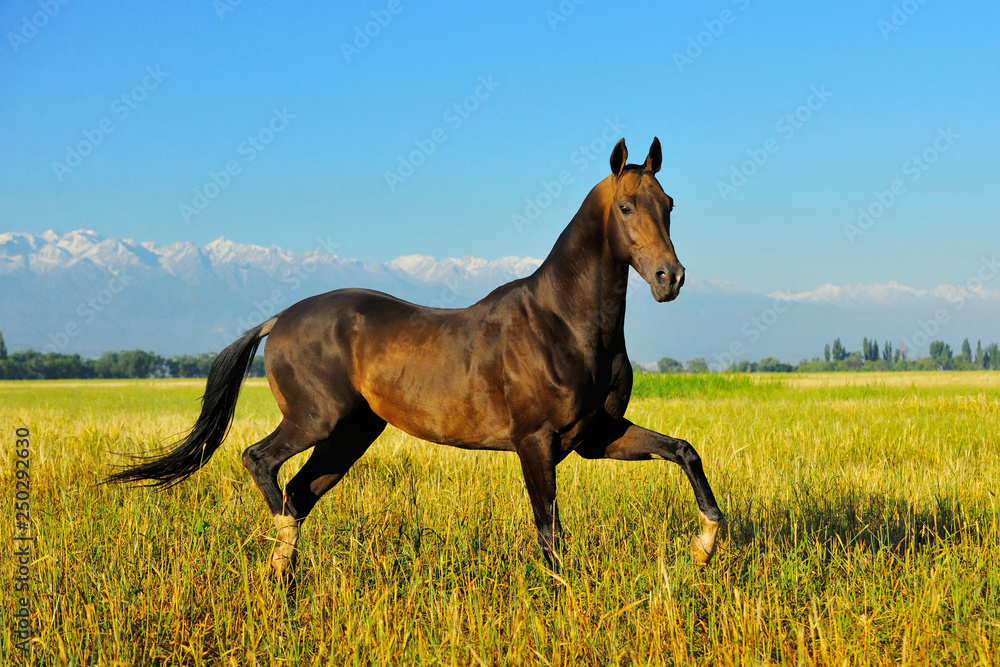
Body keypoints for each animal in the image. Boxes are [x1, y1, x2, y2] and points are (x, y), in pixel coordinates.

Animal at [108, 137, 724, 579]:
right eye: (626, 206)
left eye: (668, 204)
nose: (670, 279)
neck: (563, 325)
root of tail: (277, 320)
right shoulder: (536, 442)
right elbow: (549, 533)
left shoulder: (597, 435)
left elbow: (683, 451)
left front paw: (704, 545)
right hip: (317, 420)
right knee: (261, 464)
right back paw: (280, 545)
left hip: (351, 434)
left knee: (299, 492)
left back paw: (286, 579)